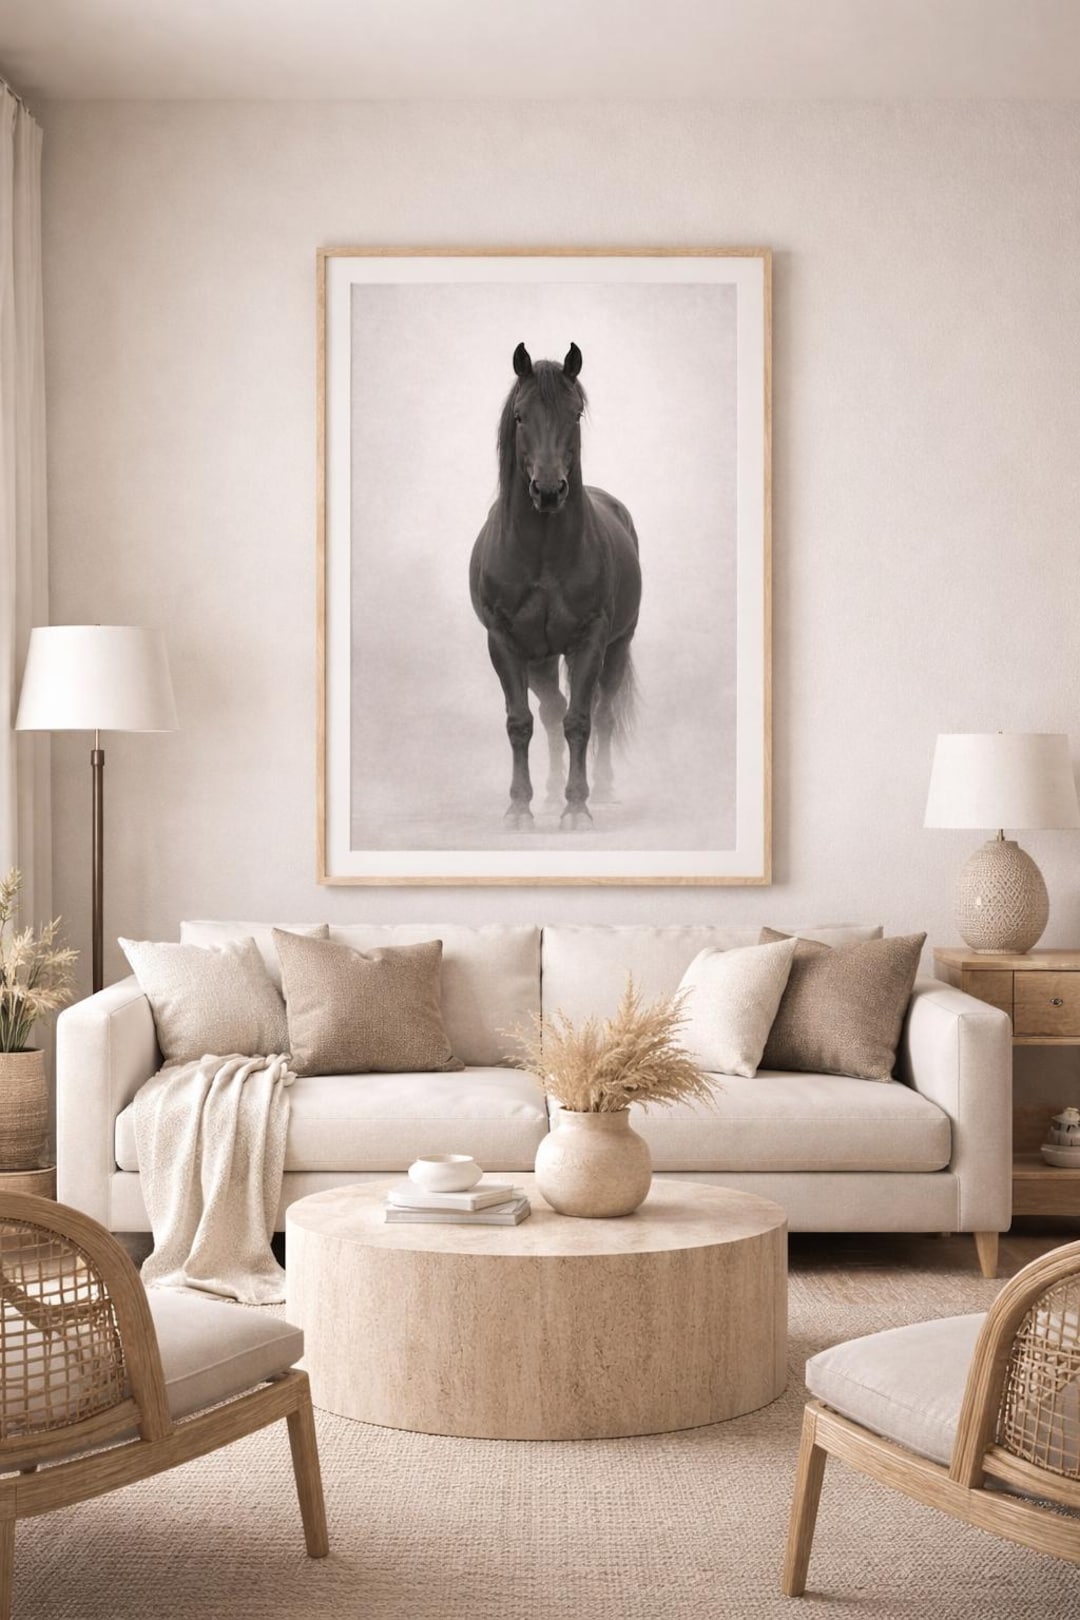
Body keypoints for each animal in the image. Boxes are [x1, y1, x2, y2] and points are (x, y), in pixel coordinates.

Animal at [469, 341, 642, 830]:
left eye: (575, 413)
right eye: (520, 416)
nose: (548, 491)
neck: (544, 555)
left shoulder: (591, 639)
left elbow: (580, 720)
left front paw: (578, 808)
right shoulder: (504, 642)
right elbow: (522, 722)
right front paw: (519, 807)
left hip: (617, 647)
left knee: (603, 713)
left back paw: (603, 790)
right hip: (541, 661)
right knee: (549, 712)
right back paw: (546, 795)